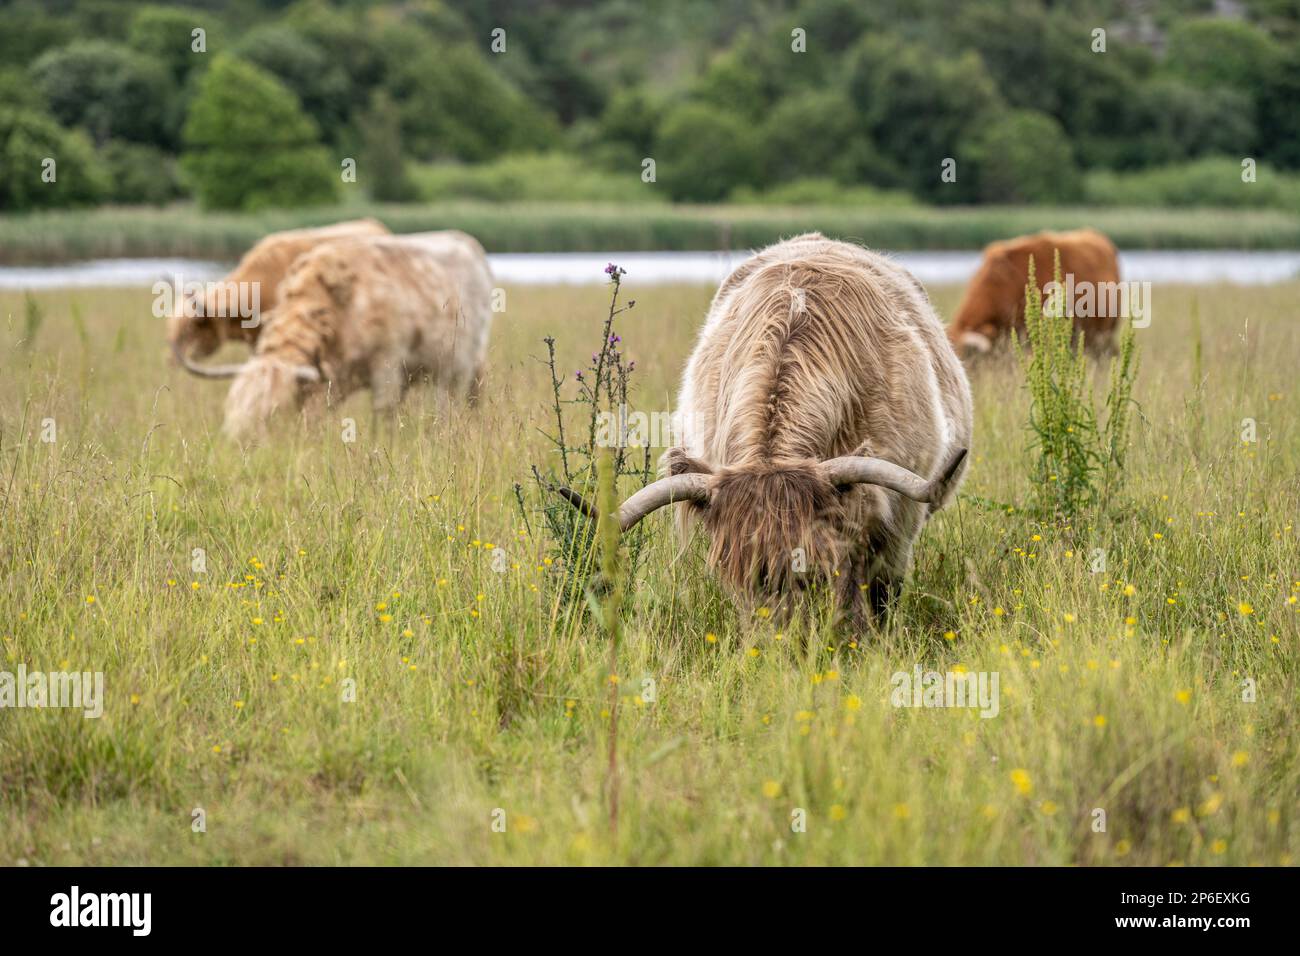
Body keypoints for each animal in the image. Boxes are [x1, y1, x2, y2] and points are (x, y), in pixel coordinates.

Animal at [179, 231, 493, 441]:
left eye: (272, 412)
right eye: (231, 407)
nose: (238, 442)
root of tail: (464, 240)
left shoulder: (387, 365)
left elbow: (384, 414)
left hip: (461, 364)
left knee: (452, 402)